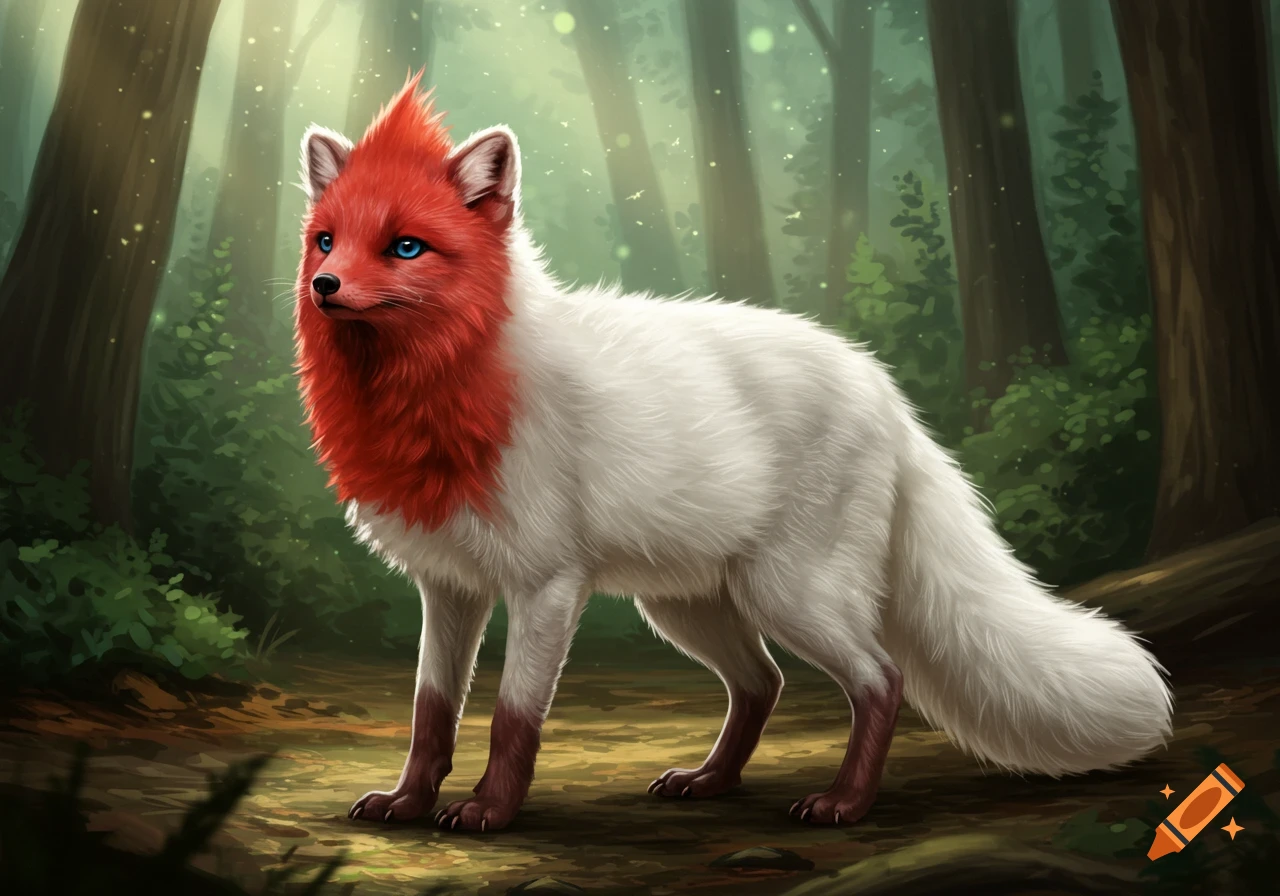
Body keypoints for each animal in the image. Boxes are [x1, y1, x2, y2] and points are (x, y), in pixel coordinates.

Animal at [292, 74, 1173, 833]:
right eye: (327, 241)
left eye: (406, 248)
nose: (323, 287)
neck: (445, 388)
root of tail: (884, 390)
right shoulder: (449, 586)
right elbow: (430, 712)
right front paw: (408, 802)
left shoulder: (545, 585)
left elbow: (514, 717)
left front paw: (490, 813)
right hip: (690, 606)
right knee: (763, 683)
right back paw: (711, 781)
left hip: (788, 594)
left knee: (878, 679)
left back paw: (845, 804)